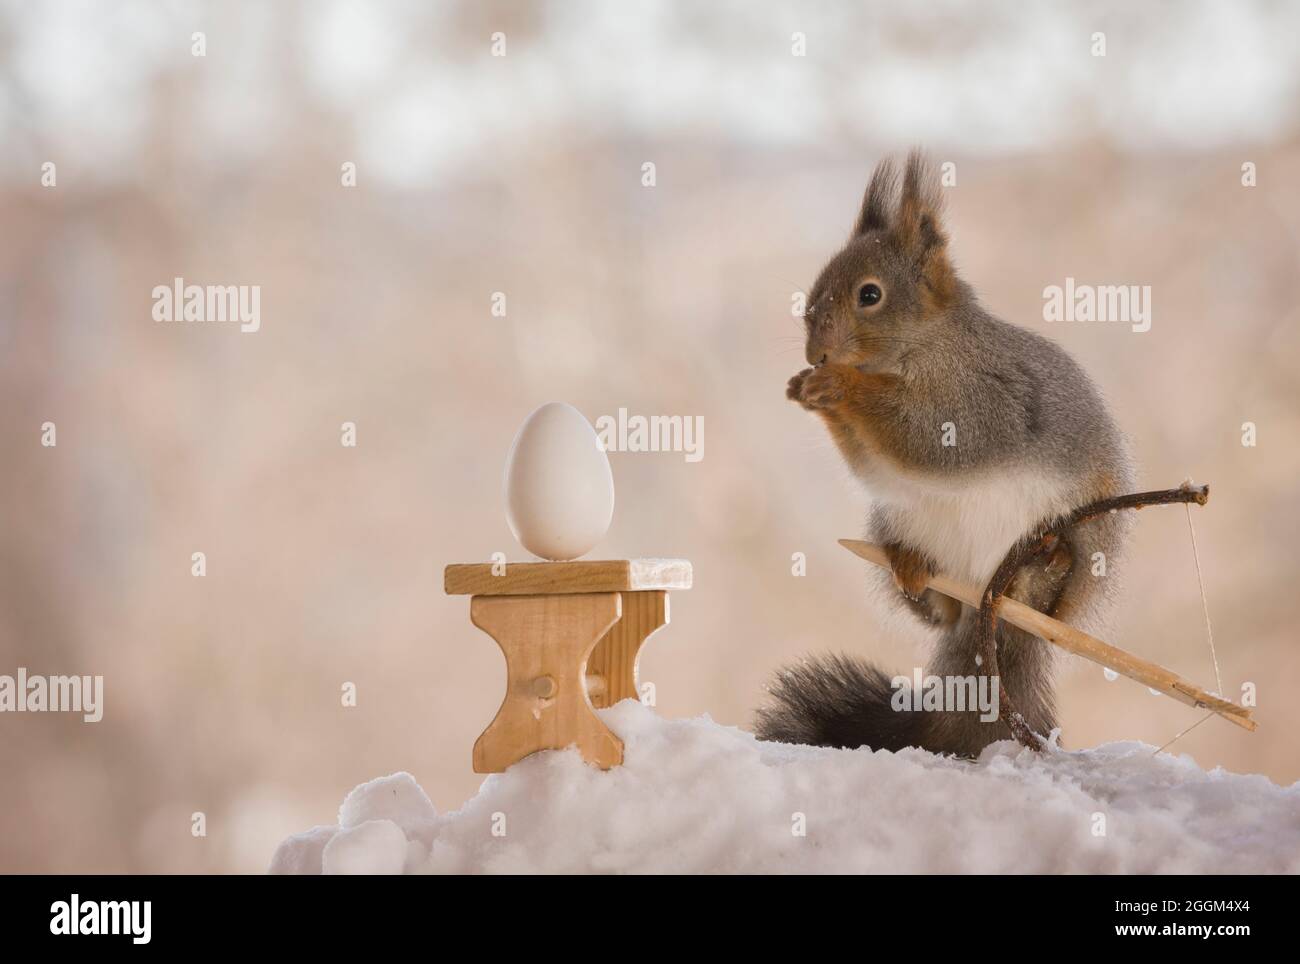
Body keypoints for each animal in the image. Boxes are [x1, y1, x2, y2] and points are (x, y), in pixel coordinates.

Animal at [756, 151, 1134, 757]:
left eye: (869, 294)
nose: (818, 354)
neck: (925, 345)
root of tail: (987, 606)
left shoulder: (984, 403)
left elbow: (926, 440)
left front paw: (838, 386)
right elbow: (877, 465)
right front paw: (807, 387)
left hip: (1084, 545)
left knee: (1046, 599)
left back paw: (1044, 569)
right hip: (899, 522)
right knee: (937, 610)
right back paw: (913, 568)